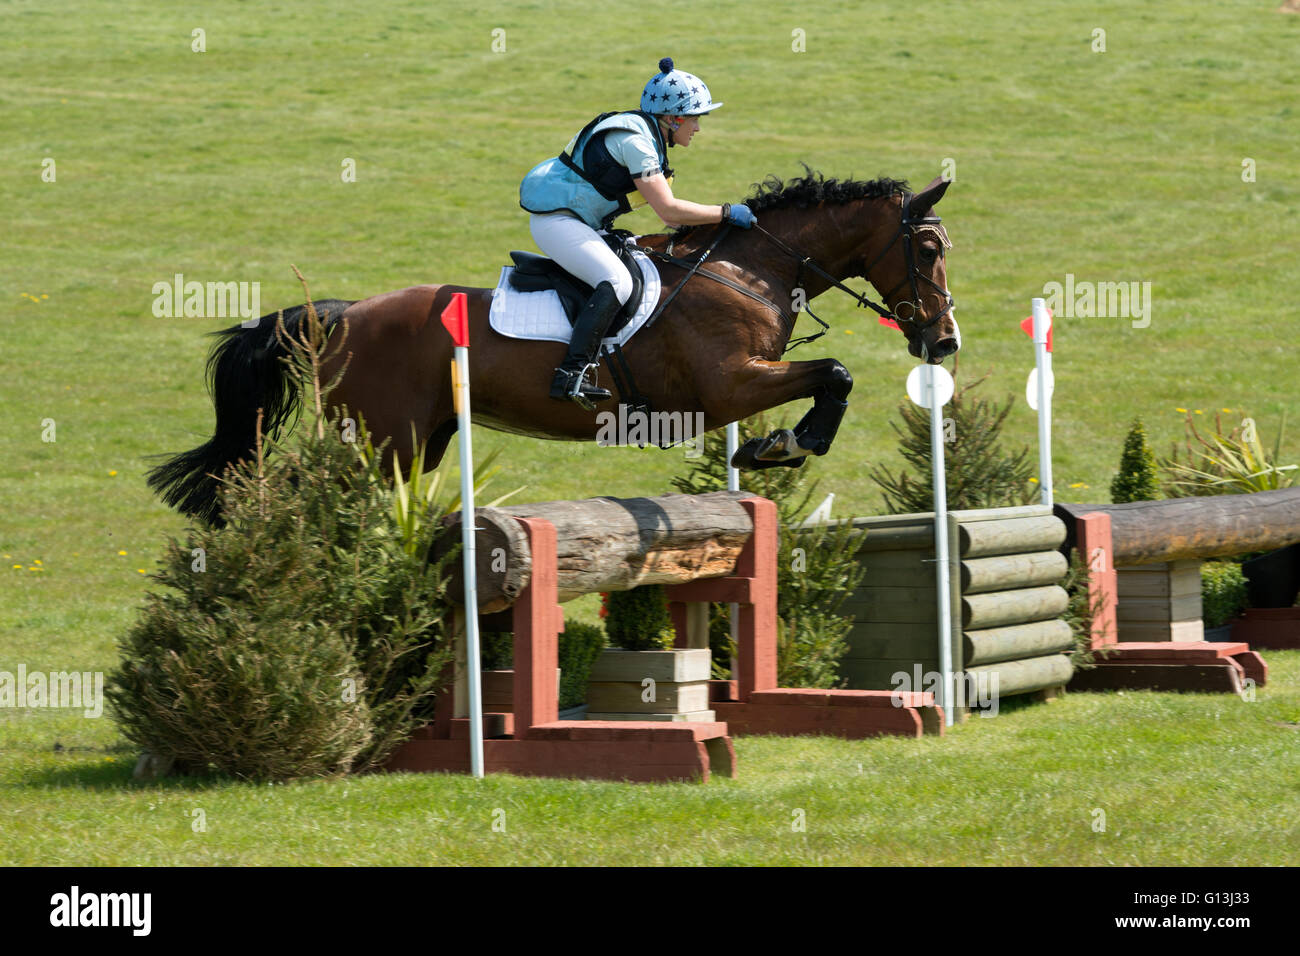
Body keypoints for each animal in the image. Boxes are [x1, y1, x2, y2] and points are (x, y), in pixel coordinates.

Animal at [148, 169, 958, 527]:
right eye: (927, 249)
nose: (944, 341)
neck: (750, 269)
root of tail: (340, 317)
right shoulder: (730, 384)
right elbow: (836, 373)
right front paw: (787, 444)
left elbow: (832, 376)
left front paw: (776, 446)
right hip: (380, 440)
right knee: (290, 486)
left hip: (413, 445)